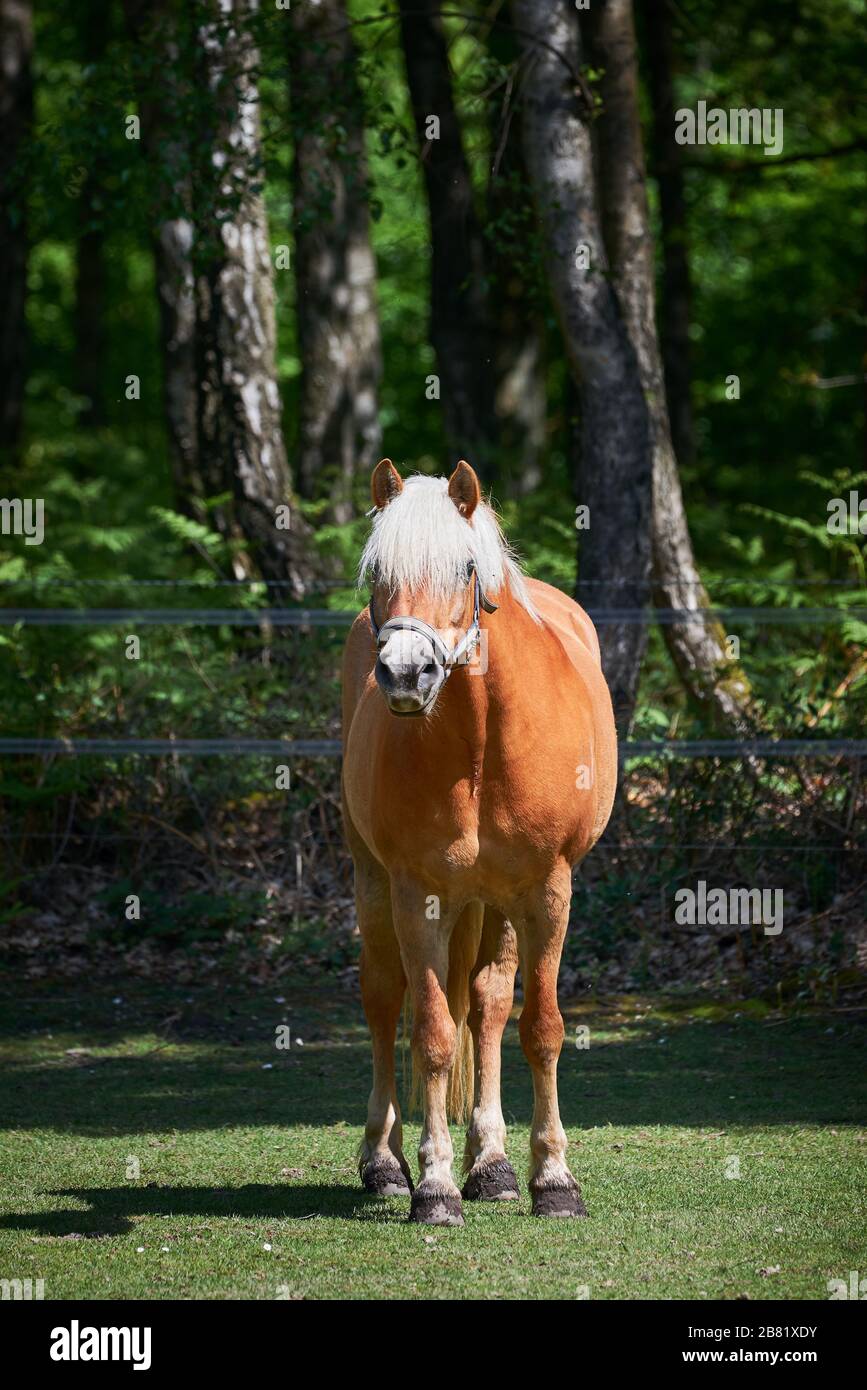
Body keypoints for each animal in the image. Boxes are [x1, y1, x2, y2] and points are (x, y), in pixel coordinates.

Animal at [341, 458, 617, 1225]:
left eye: (465, 569)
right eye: (376, 569)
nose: (405, 674)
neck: (479, 742)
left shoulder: (548, 891)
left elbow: (539, 1028)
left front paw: (553, 1178)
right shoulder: (419, 895)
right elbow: (433, 1035)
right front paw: (434, 1186)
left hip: (498, 904)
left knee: (490, 1004)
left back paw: (491, 1163)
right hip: (373, 883)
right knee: (384, 998)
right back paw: (384, 1163)